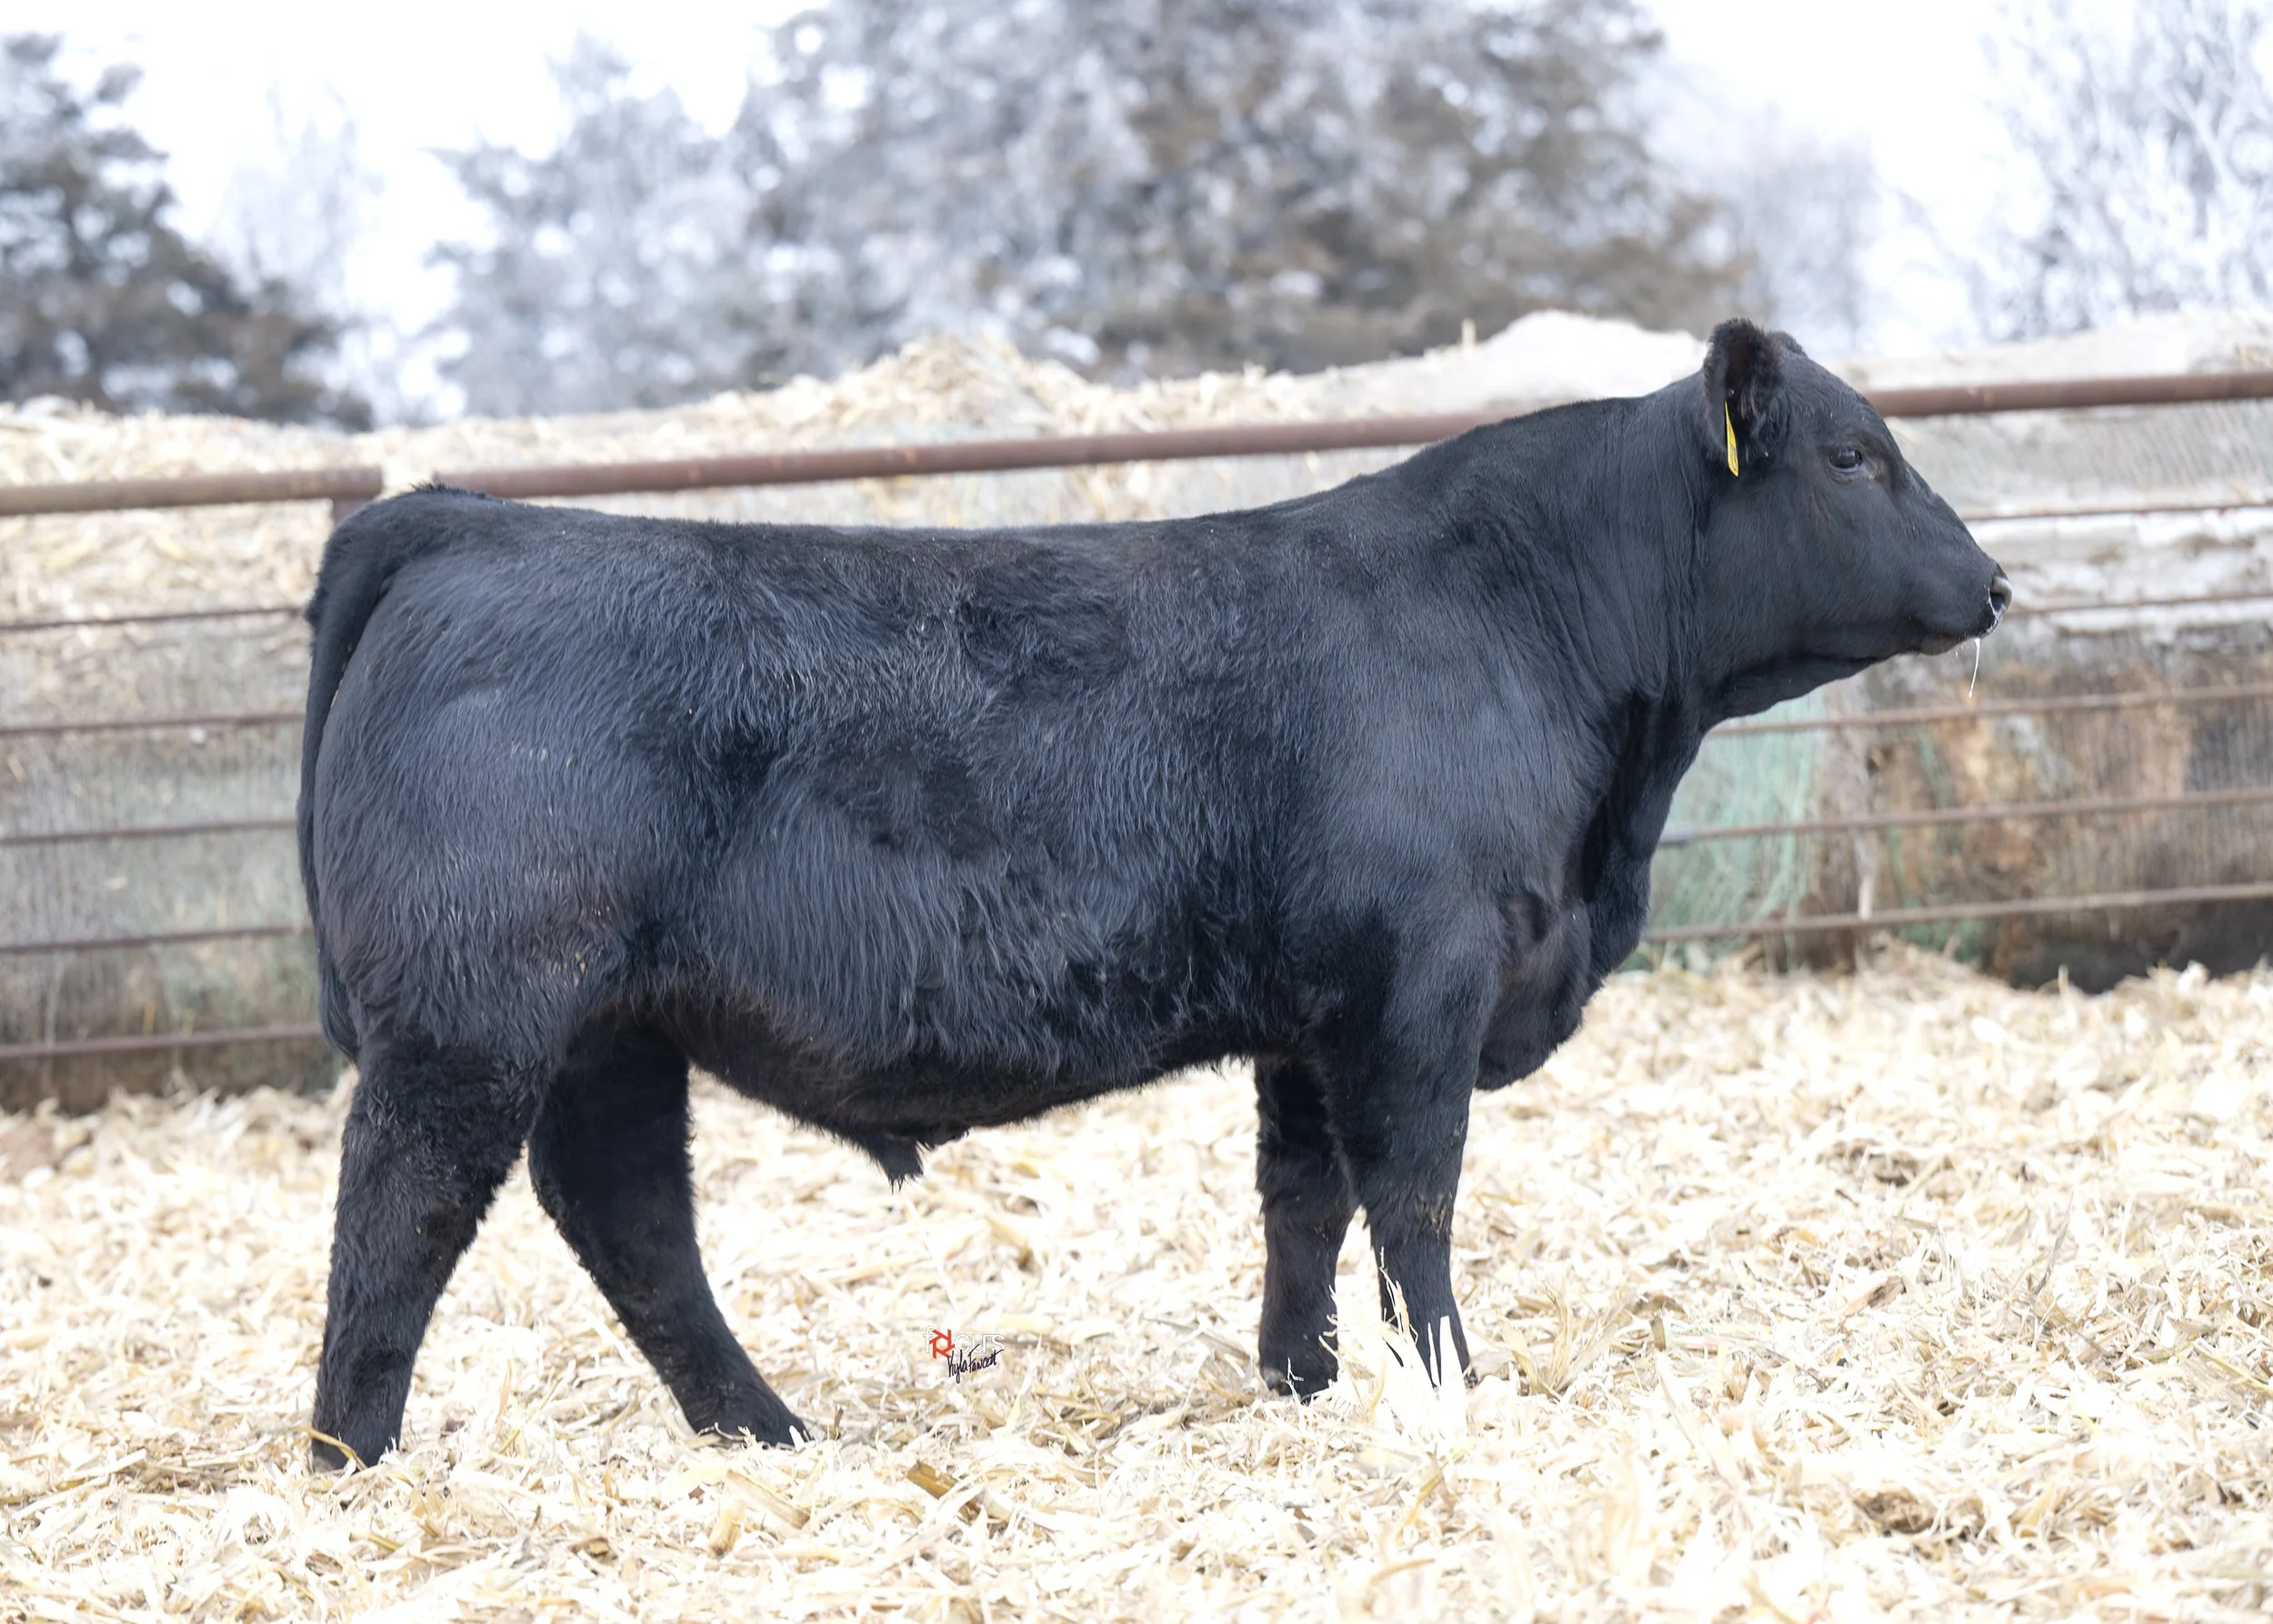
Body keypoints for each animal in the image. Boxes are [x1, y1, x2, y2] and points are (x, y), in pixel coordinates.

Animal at [296, 320, 2008, 1469]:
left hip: (615, 1028)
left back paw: (765, 1429)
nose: (1994, 583)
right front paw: (1448, 1382)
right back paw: (352, 1457)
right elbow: (1417, 1197)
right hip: (474, 1010)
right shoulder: (1420, 982)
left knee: (630, 1220)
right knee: (407, 1207)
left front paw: (1304, 1380)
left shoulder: (1313, 1015)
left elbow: (1304, 1202)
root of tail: (464, 520)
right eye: (1853, 454)